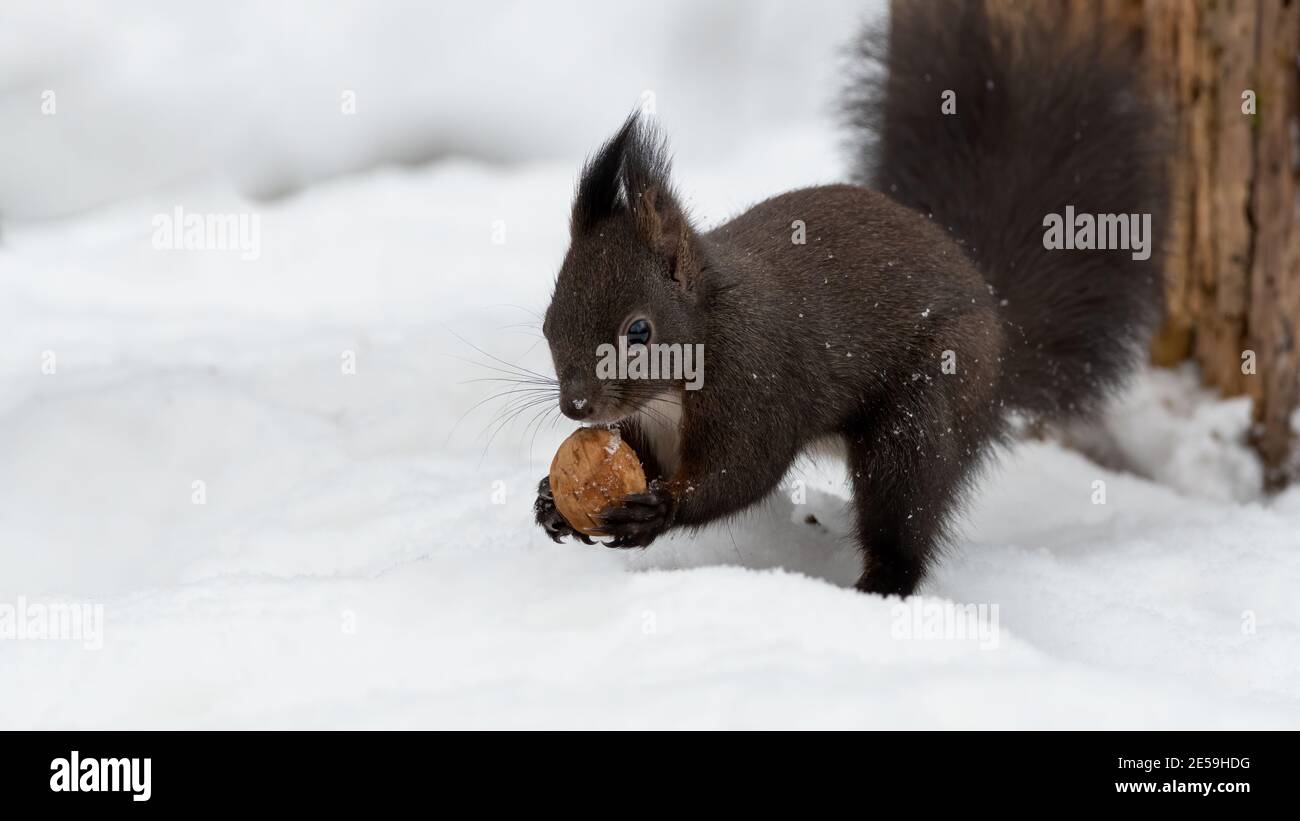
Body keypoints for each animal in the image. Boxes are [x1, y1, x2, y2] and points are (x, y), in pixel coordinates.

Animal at [533, 1, 1168, 596]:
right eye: (547, 323)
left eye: (639, 330)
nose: (577, 406)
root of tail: (1000, 325)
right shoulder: (647, 426)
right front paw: (549, 501)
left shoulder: (757, 384)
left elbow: (742, 472)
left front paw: (658, 509)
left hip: (929, 404)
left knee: (906, 507)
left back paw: (880, 586)